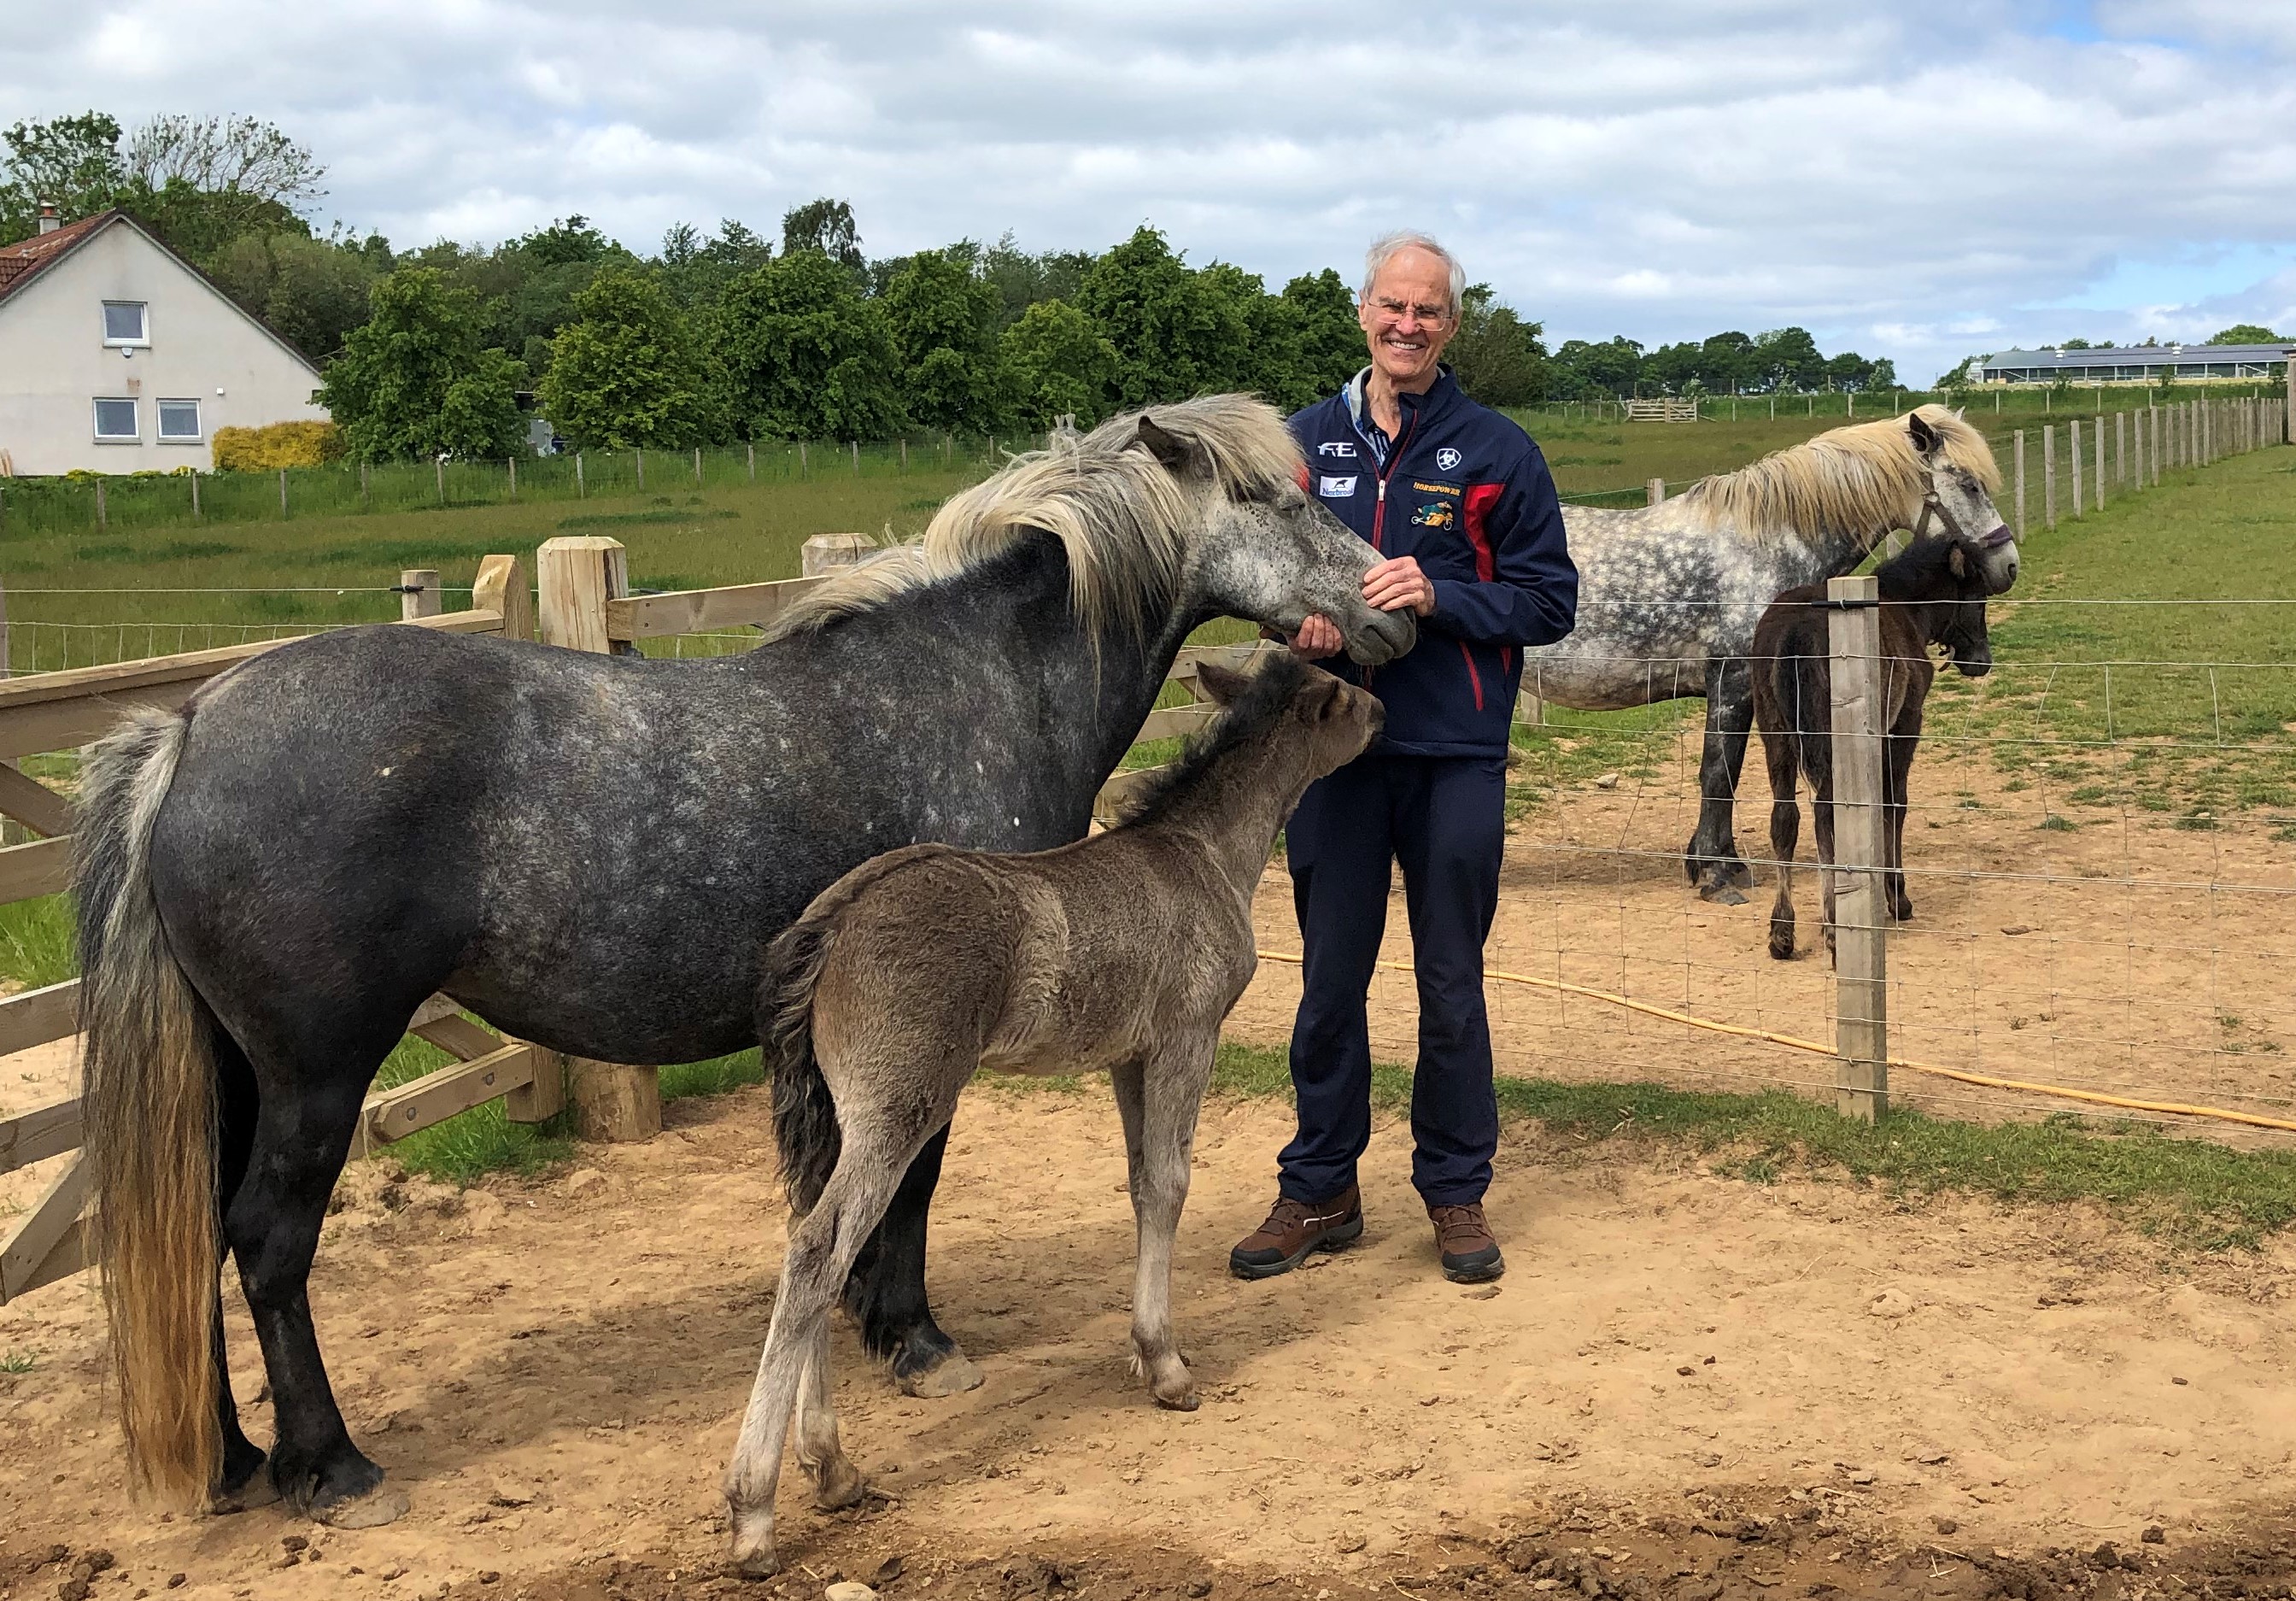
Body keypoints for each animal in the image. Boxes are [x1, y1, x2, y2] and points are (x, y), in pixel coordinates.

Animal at [728, 654, 1379, 1576]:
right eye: (1345, 694)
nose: (1386, 710)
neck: (1205, 854)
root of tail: (835, 917)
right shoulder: (1187, 1036)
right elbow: (1171, 1184)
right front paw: (1168, 1365)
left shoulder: (1128, 1058)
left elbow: (1143, 1186)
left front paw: (1147, 1350)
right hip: (898, 1106)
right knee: (820, 1250)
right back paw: (755, 1511)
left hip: (830, 1116)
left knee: (810, 1238)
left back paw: (834, 1466)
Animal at [1523, 405, 2015, 904]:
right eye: (1970, 485)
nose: (2009, 565)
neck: (1761, 548)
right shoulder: (1734, 682)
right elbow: (1718, 772)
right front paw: (1715, 875)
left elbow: (1730, 772)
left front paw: (1722, 863)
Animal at [1751, 533, 1996, 961]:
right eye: (1977, 598)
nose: (1982, 661)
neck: (1905, 608)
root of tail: (1793, 634)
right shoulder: (1903, 725)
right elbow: (1895, 802)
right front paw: (1898, 897)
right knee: (1824, 812)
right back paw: (1834, 926)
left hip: (1776, 734)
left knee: (1785, 818)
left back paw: (1782, 930)